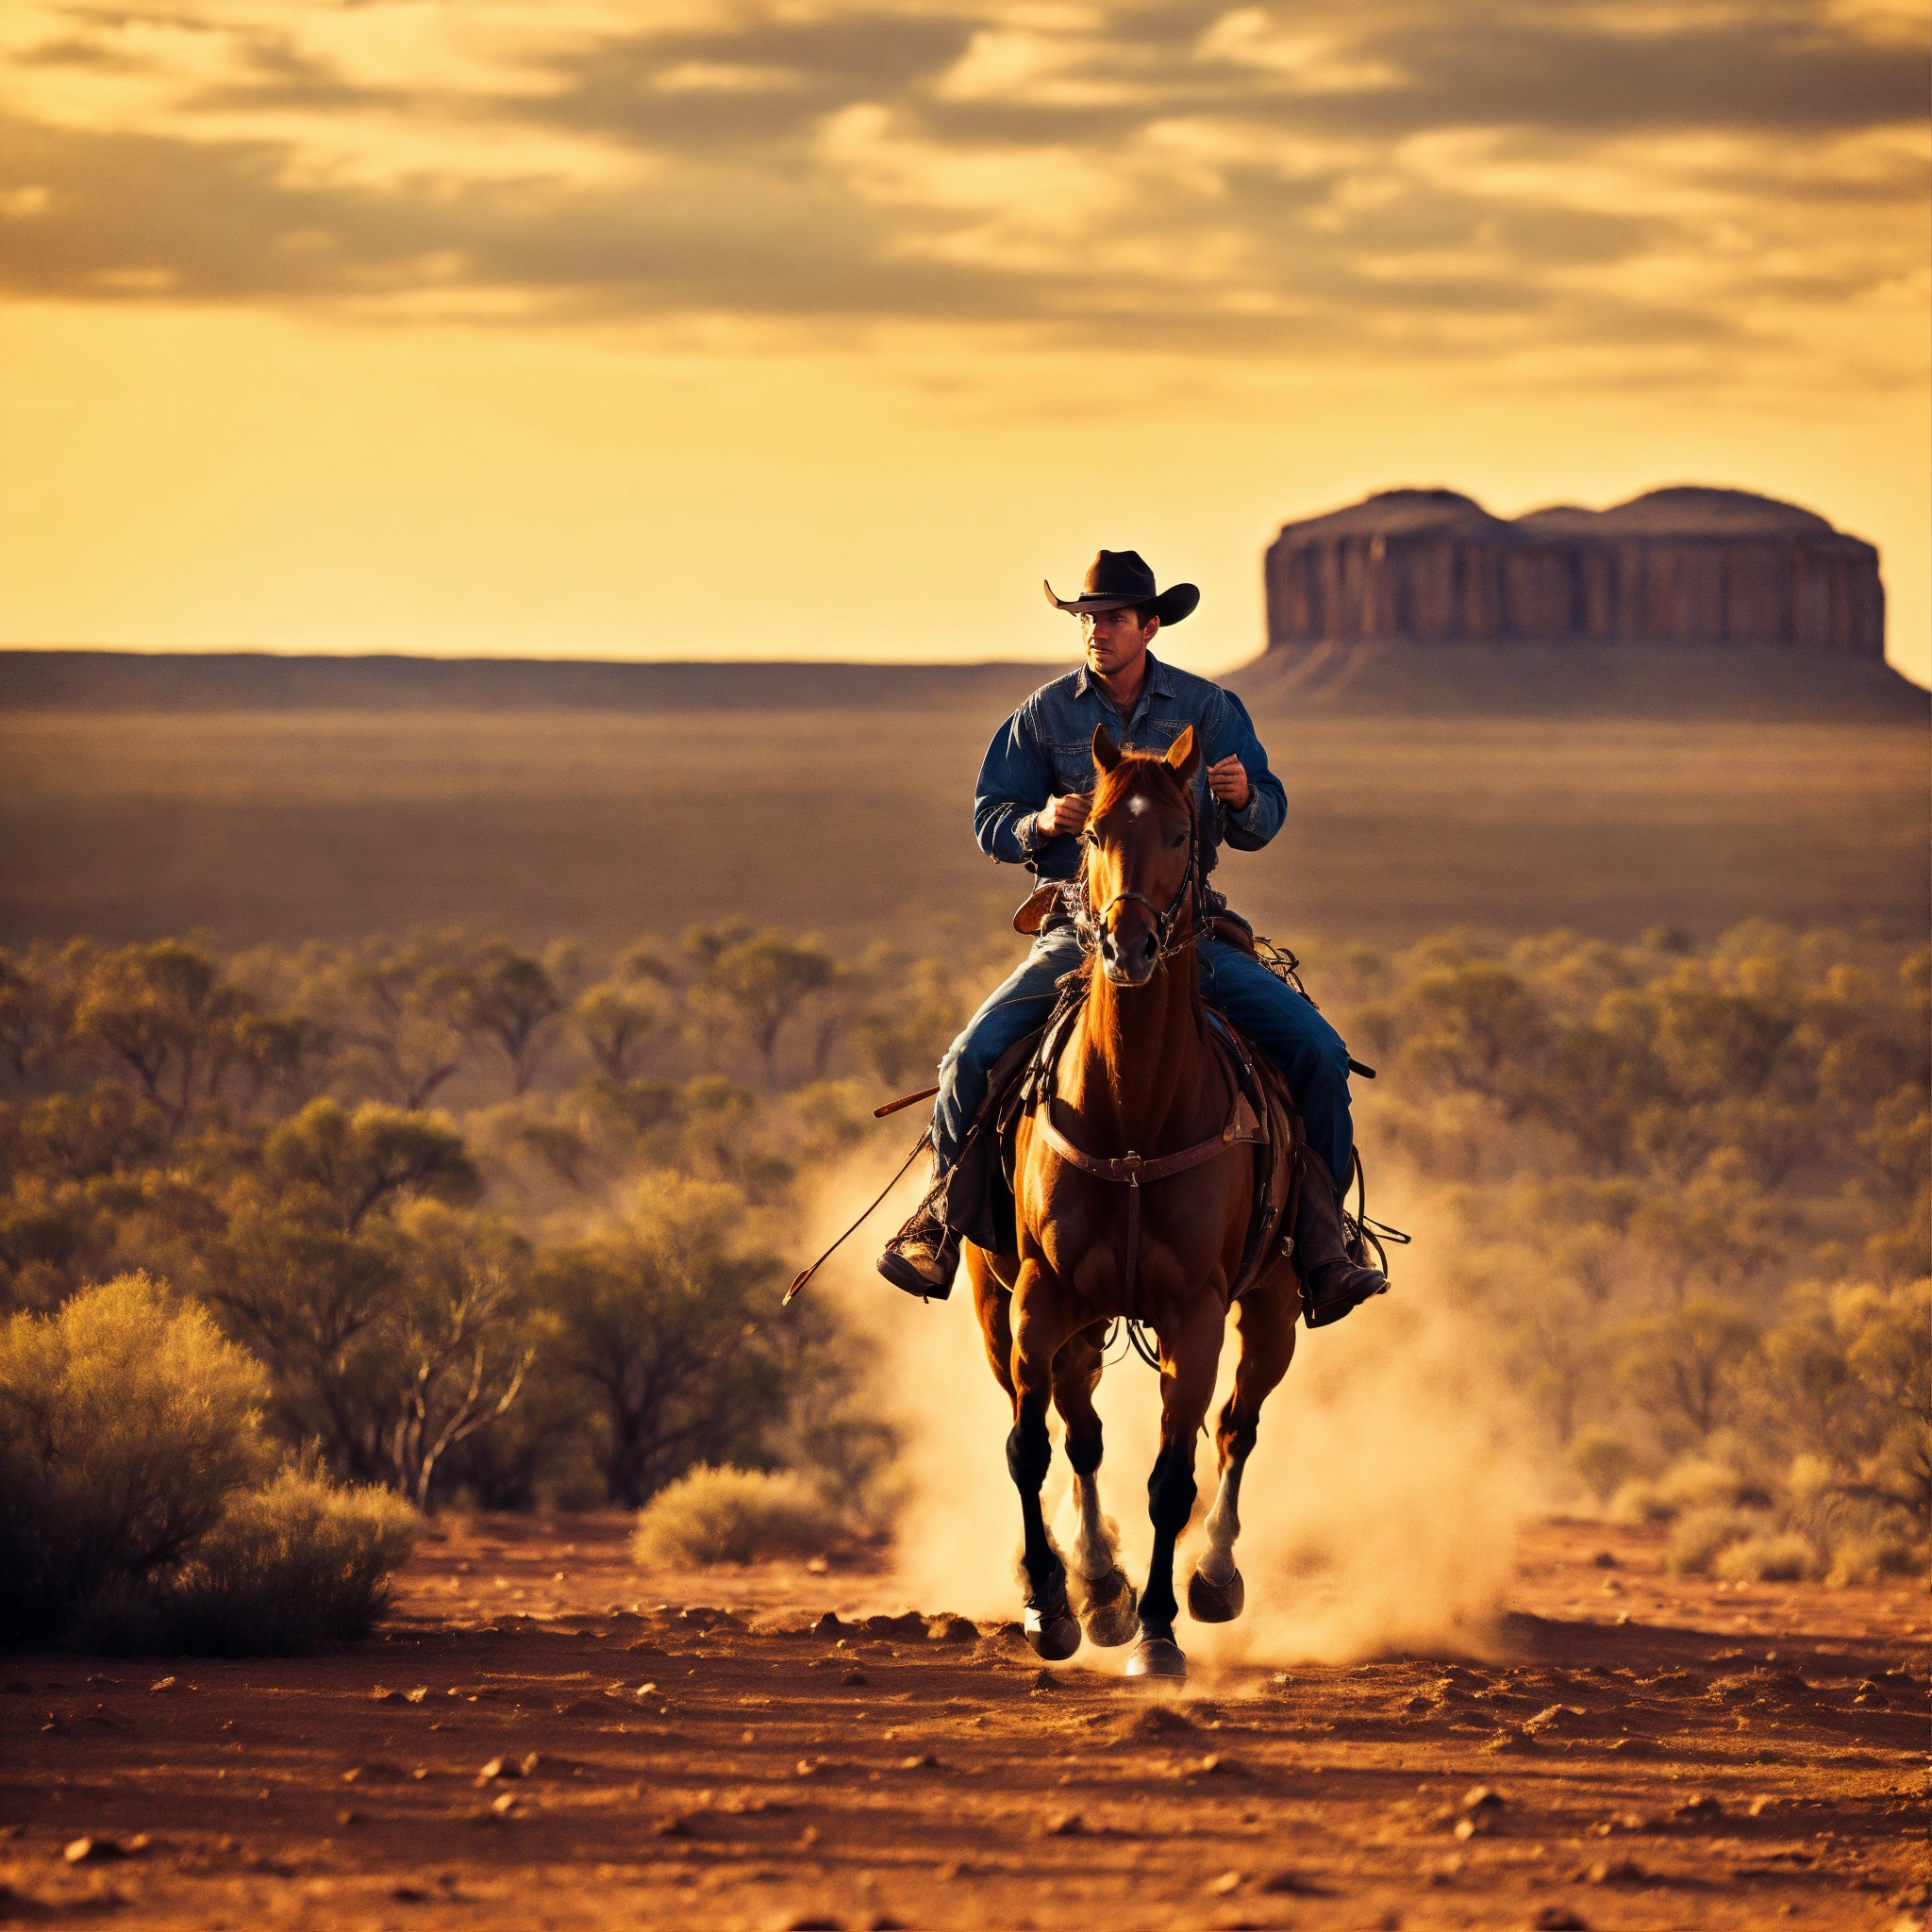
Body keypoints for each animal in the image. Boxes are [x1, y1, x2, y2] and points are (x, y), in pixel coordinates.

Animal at [962, 721, 1302, 1683]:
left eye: (1186, 833)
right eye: (1090, 832)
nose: (1129, 947)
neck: (1134, 1113)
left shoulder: (1196, 1312)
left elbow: (1173, 1477)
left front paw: (1158, 1632)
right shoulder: (1038, 1300)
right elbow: (1030, 1448)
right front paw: (1051, 1605)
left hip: (1274, 1308)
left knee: (1236, 1429)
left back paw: (1208, 1578)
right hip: (1010, 1309)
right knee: (1077, 1429)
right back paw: (1095, 1581)